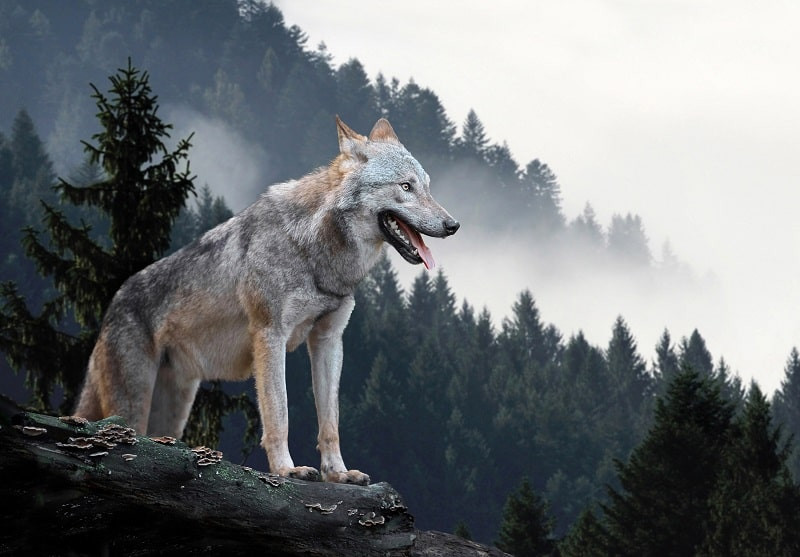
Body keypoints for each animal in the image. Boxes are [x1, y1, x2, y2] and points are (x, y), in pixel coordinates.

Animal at [75, 116, 459, 484]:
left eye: (427, 186)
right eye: (405, 187)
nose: (453, 225)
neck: (314, 251)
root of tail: (112, 306)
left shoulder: (329, 340)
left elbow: (330, 422)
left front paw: (338, 473)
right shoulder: (270, 335)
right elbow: (279, 413)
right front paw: (287, 470)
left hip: (173, 412)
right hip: (133, 406)